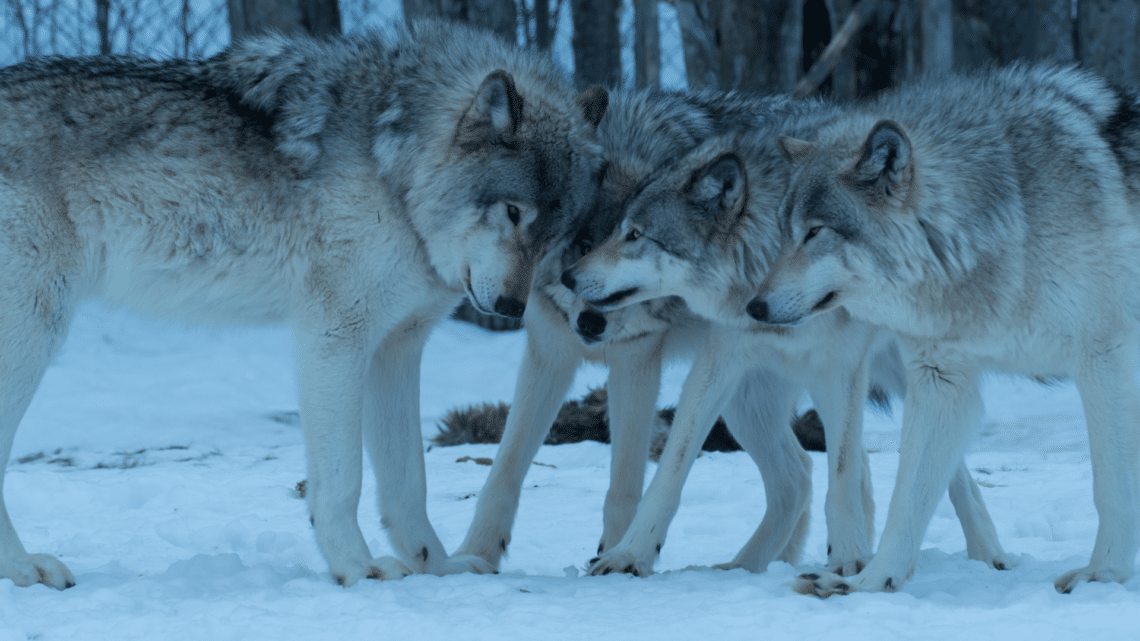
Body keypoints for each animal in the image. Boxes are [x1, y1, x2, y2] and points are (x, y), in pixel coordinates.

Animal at [0, 20, 607, 589]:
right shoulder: (335, 334)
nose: (510, 307)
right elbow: (342, 480)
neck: (393, 167)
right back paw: (24, 567)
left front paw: (437, 571)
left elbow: (409, 481)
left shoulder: (397, 349)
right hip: (34, 329)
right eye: (512, 212)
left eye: (553, 232)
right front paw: (358, 568)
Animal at [452, 88, 842, 574]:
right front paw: (474, 556)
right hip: (742, 402)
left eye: (636, 248)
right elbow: (504, 469)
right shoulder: (549, 354)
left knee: (799, 475)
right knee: (799, 474)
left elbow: (624, 484)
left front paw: (619, 556)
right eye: (584, 246)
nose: (592, 322)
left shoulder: (636, 361)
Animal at [563, 112, 1012, 578]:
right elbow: (670, 470)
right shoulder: (718, 364)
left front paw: (849, 559)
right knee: (802, 474)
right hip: (747, 404)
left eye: (636, 235)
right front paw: (628, 555)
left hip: (902, 376)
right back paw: (743, 567)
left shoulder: (842, 370)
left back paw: (987, 556)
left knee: (949, 471)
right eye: (617, 232)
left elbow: (843, 476)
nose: (568, 276)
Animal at [751, 64, 1140, 595]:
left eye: (815, 232)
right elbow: (906, 501)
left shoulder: (1106, 359)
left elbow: (1112, 486)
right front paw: (869, 582)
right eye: (785, 231)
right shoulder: (940, 379)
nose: (755, 306)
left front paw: (1103, 575)